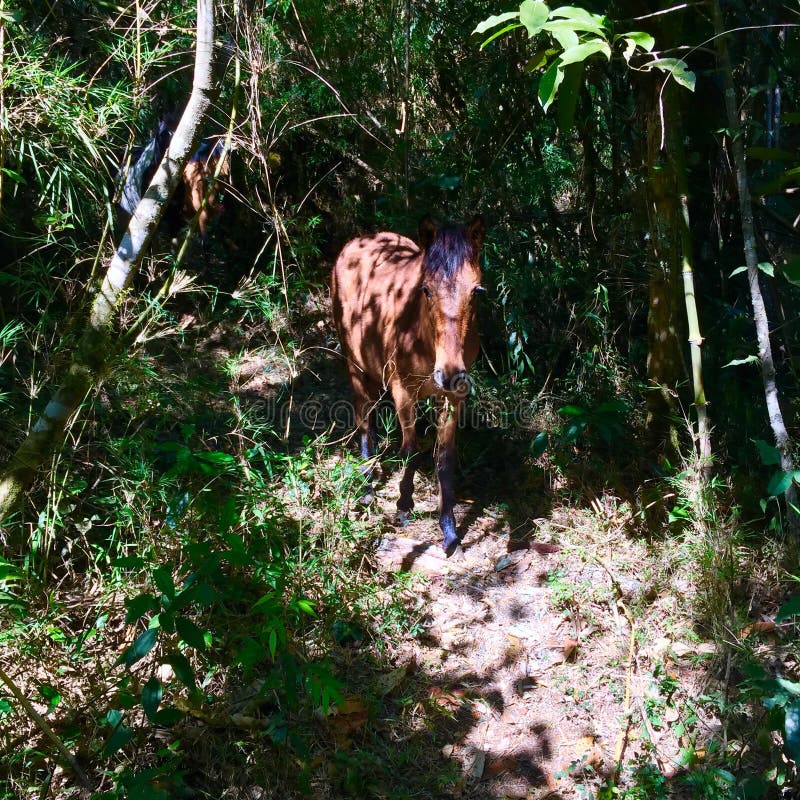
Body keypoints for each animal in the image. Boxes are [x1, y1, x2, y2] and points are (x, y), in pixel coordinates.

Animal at [331, 216, 485, 556]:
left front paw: (449, 531)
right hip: (355, 365)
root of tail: (357, 242)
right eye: (426, 289)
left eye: (476, 291)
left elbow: (445, 459)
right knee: (365, 420)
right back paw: (366, 486)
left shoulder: (452, 398)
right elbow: (411, 450)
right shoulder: (403, 392)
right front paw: (403, 504)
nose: (449, 374)